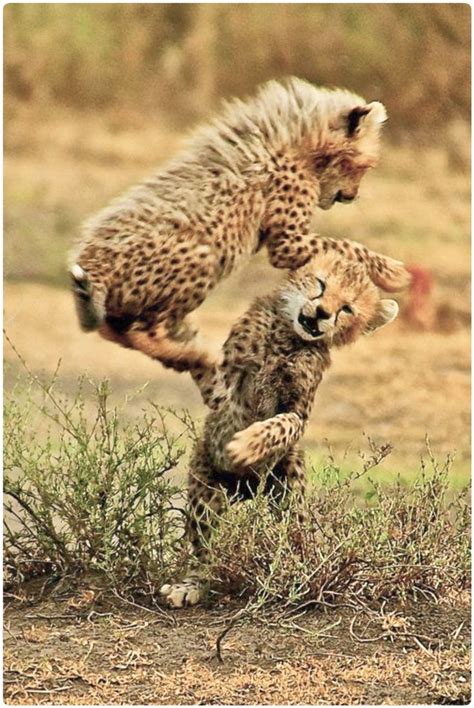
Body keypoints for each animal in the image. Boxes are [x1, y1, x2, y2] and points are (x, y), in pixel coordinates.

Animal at [69, 76, 387, 371]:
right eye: (363, 166)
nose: (351, 196)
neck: (302, 142)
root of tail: (91, 259)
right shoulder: (287, 243)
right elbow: (346, 245)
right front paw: (394, 273)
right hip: (202, 258)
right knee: (141, 332)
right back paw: (198, 356)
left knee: (113, 330)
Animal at [159, 238, 410, 608]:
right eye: (320, 284)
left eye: (347, 308)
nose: (321, 313)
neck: (288, 336)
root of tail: (244, 491)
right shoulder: (228, 381)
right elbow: (218, 387)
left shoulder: (298, 408)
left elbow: (282, 424)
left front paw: (246, 445)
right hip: (207, 488)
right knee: (203, 547)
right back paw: (190, 585)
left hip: (288, 485)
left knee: (294, 535)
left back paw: (297, 578)